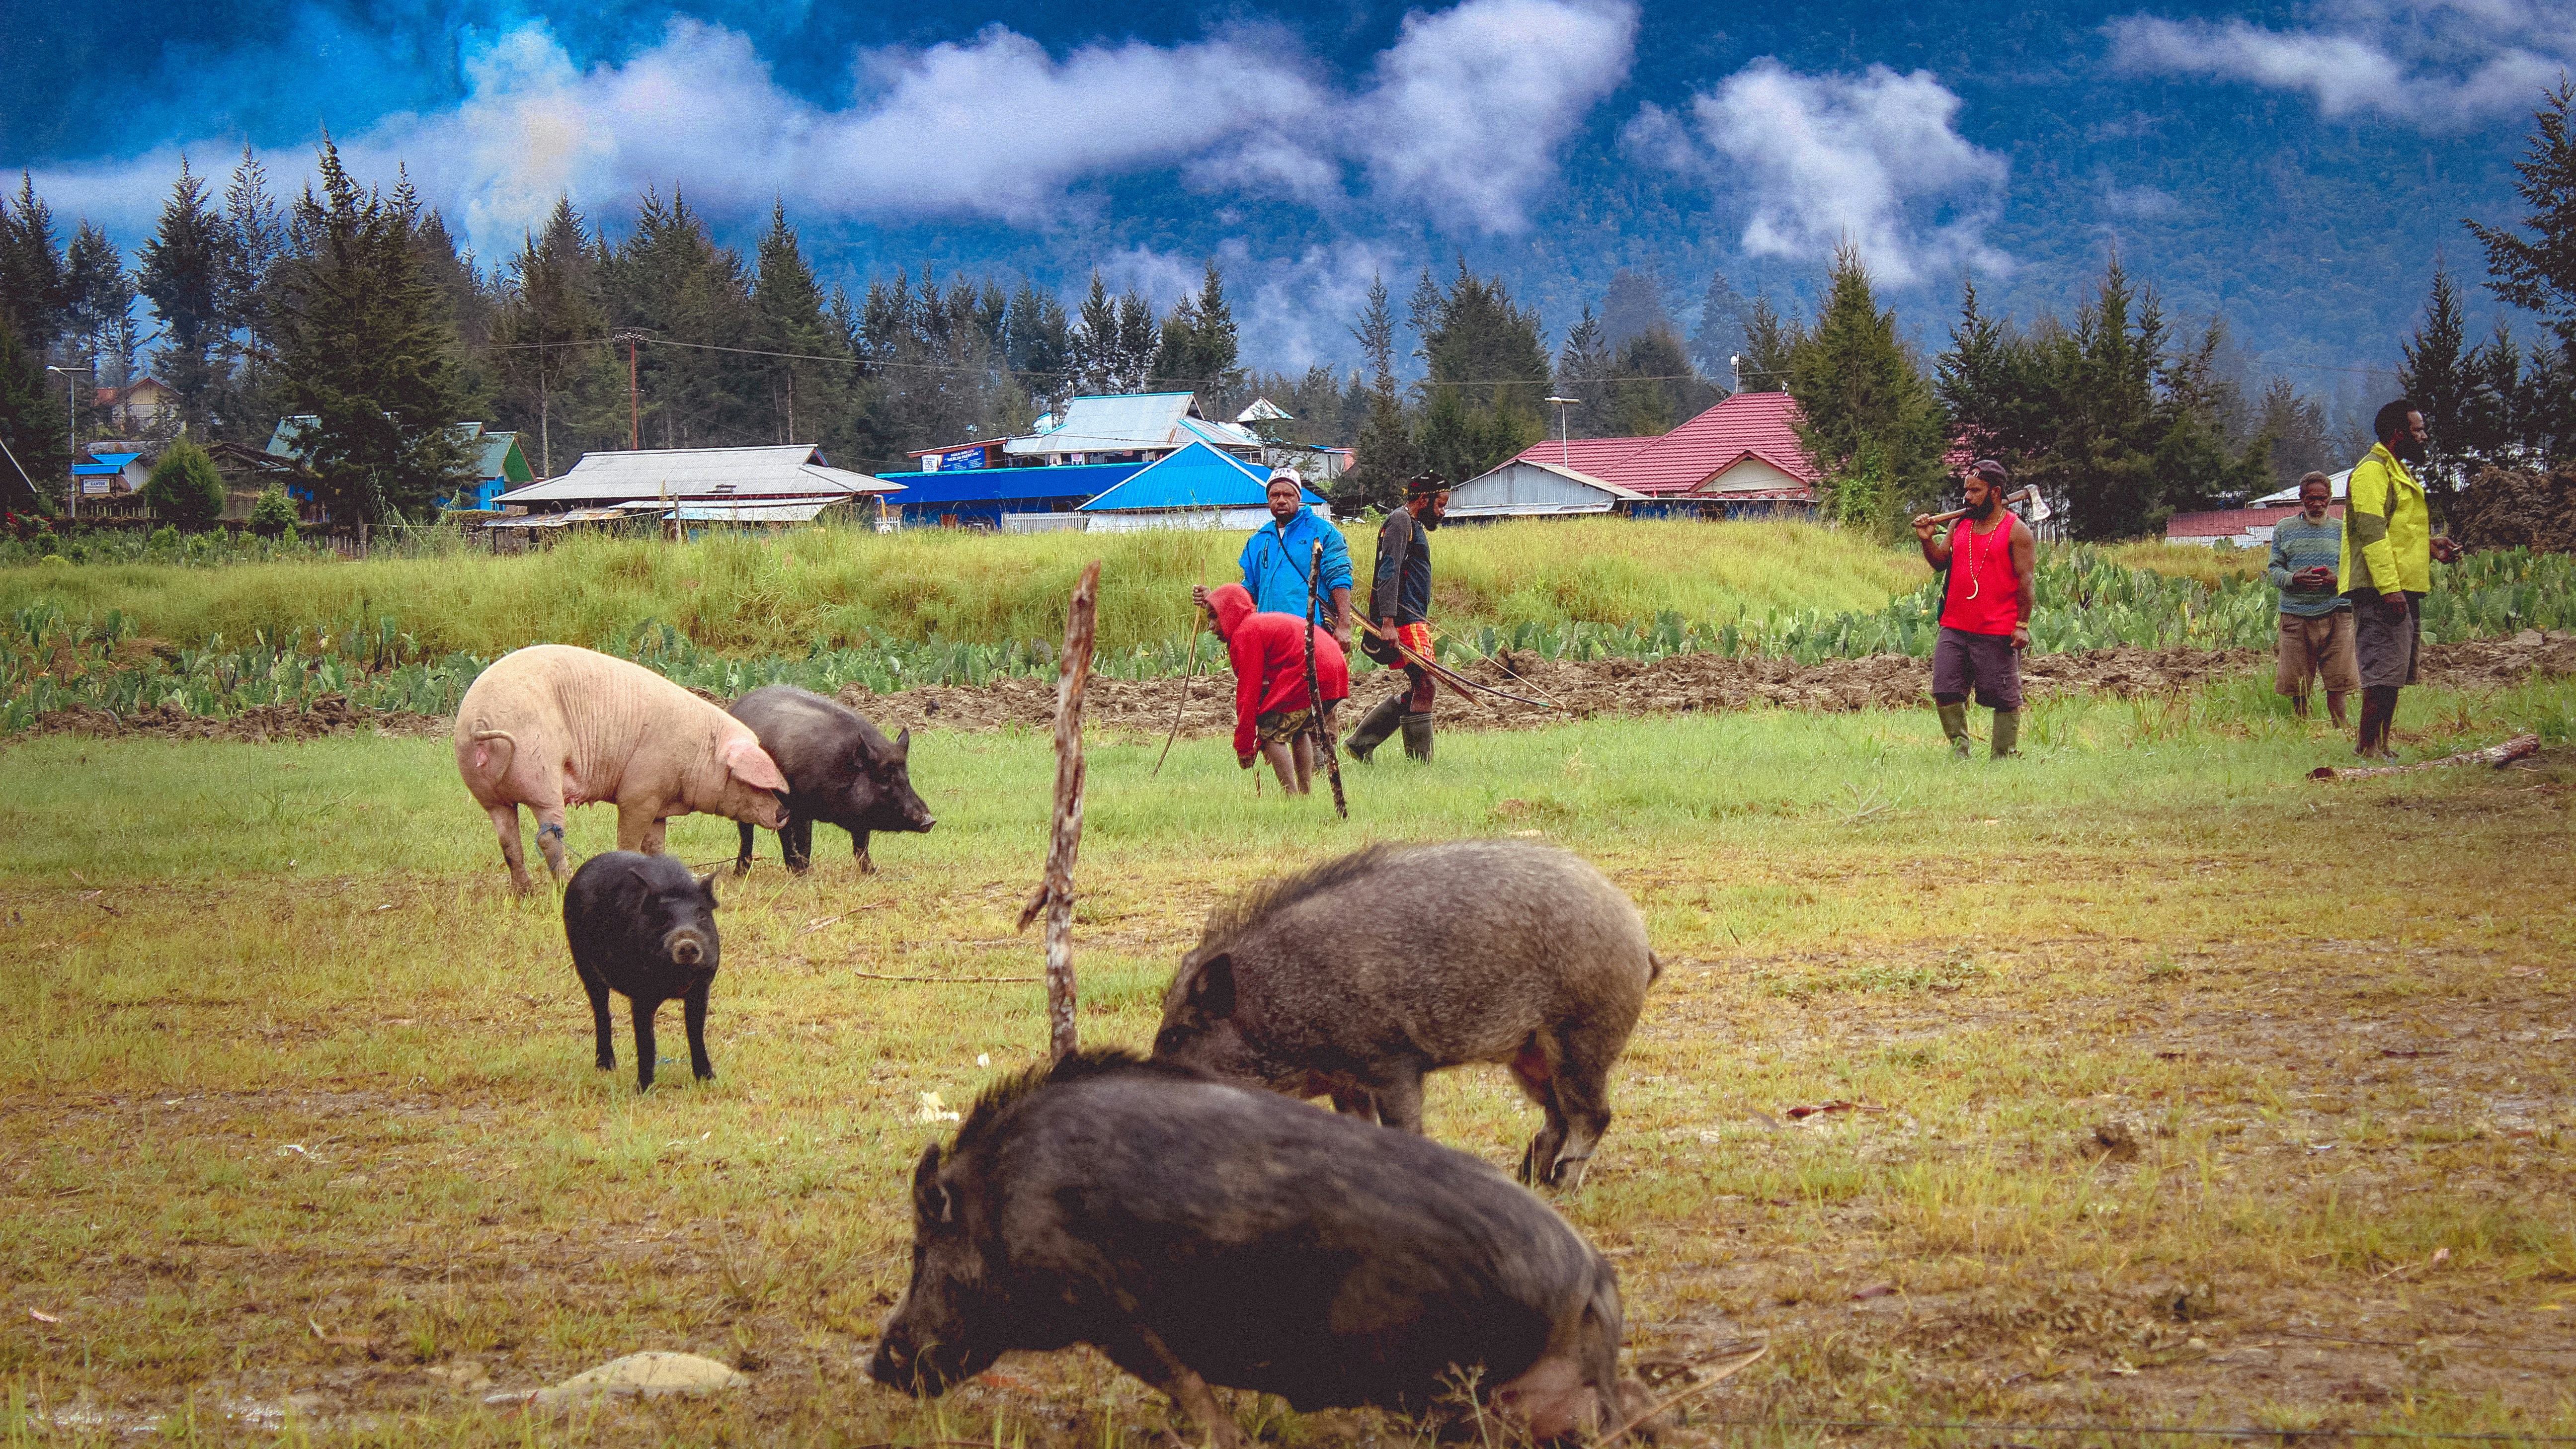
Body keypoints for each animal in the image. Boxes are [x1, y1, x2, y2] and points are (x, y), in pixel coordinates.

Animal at [453, 644, 789, 894]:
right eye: (754, 782)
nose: (784, 812)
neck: (700, 754)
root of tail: (478, 722)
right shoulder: (639, 795)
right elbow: (630, 841)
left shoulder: (659, 803)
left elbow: (655, 845)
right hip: (542, 778)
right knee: (548, 838)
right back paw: (564, 884)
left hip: (488, 794)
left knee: (508, 840)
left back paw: (525, 892)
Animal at [563, 850, 723, 1092]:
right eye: (664, 918)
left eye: (702, 915)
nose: (687, 942)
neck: (677, 981)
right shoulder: (641, 995)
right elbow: (647, 1042)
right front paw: (644, 1091)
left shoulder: (701, 988)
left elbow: (696, 1034)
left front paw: (709, 1081)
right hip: (582, 962)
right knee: (601, 1010)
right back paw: (606, 1067)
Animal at [726, 685, 934, 875]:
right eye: (884, 779)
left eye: (906, 777)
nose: (930, 820)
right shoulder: (801, 807)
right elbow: (805, 843)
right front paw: (804, 875)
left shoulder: (861, 818)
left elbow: (861, 847)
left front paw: (874, 874)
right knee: (748, 833)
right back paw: (741, 873)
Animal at [870, 1049, 1658, 1445]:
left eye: (920, 1253)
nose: (879, 1363)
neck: (1005, 1197)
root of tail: (1592, 1280)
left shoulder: (1106, 1302)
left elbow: (1183, 1382)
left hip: (1456, 1388)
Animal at [1152, 839, 1659, 1190]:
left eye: (1178, 1035)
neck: (1277, 998)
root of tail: (1639, 937)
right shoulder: (1345, 1081)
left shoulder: (1392, 1062)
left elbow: (1405, 1128)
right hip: (1530, 1055)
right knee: (1557, 1114)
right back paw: (1527, 1179)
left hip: (1583, 1038)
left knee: (1593, 1115)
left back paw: (1562, 1189)